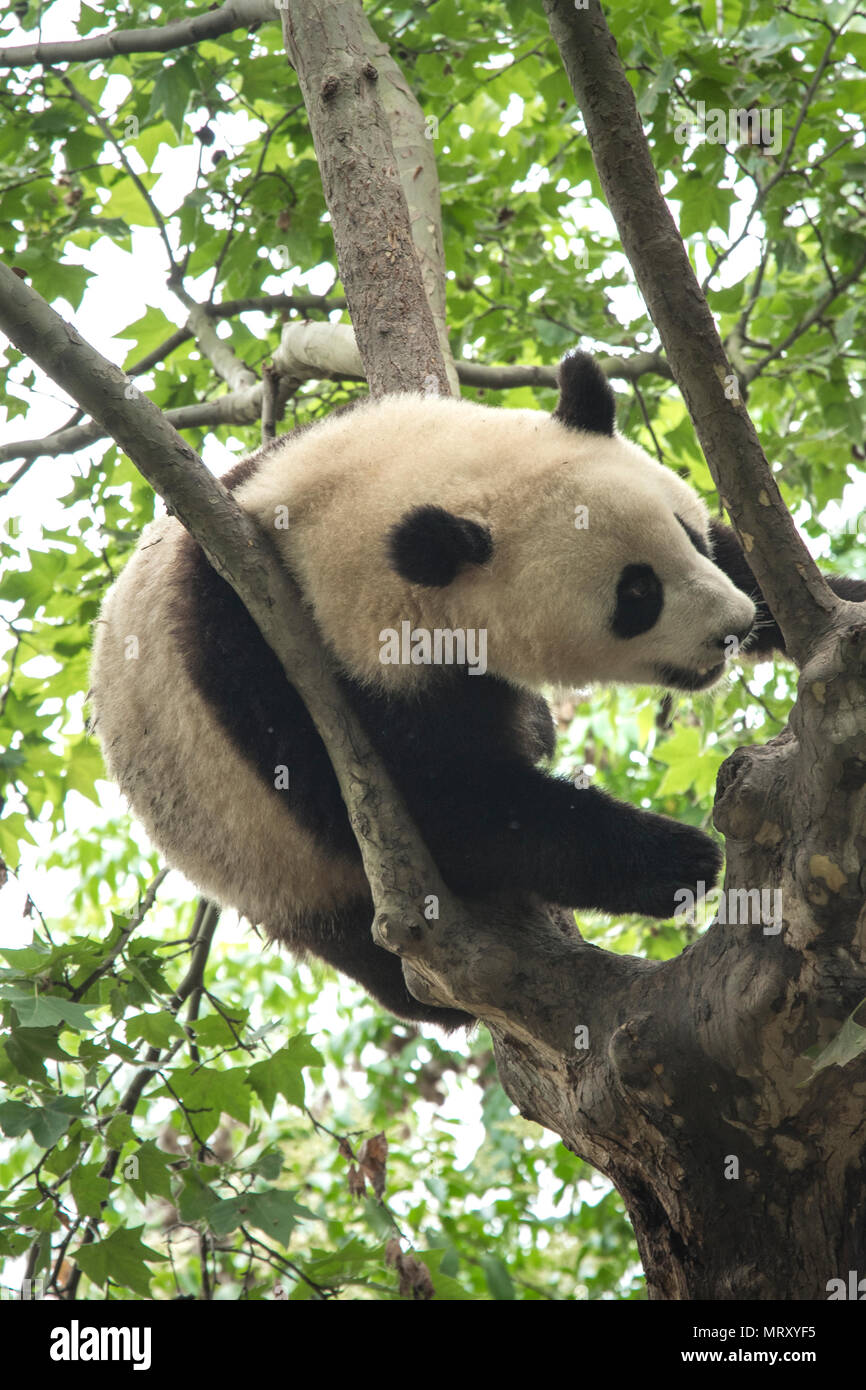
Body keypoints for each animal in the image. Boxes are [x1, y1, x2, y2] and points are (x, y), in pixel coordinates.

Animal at [90, 350, 866, 1029]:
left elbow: (754, 561)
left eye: (690, 535)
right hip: (251, 848)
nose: (732, 629)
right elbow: (454, 806)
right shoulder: (270, 656)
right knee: (347, 927)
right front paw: (677, 859)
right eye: (636, 595)